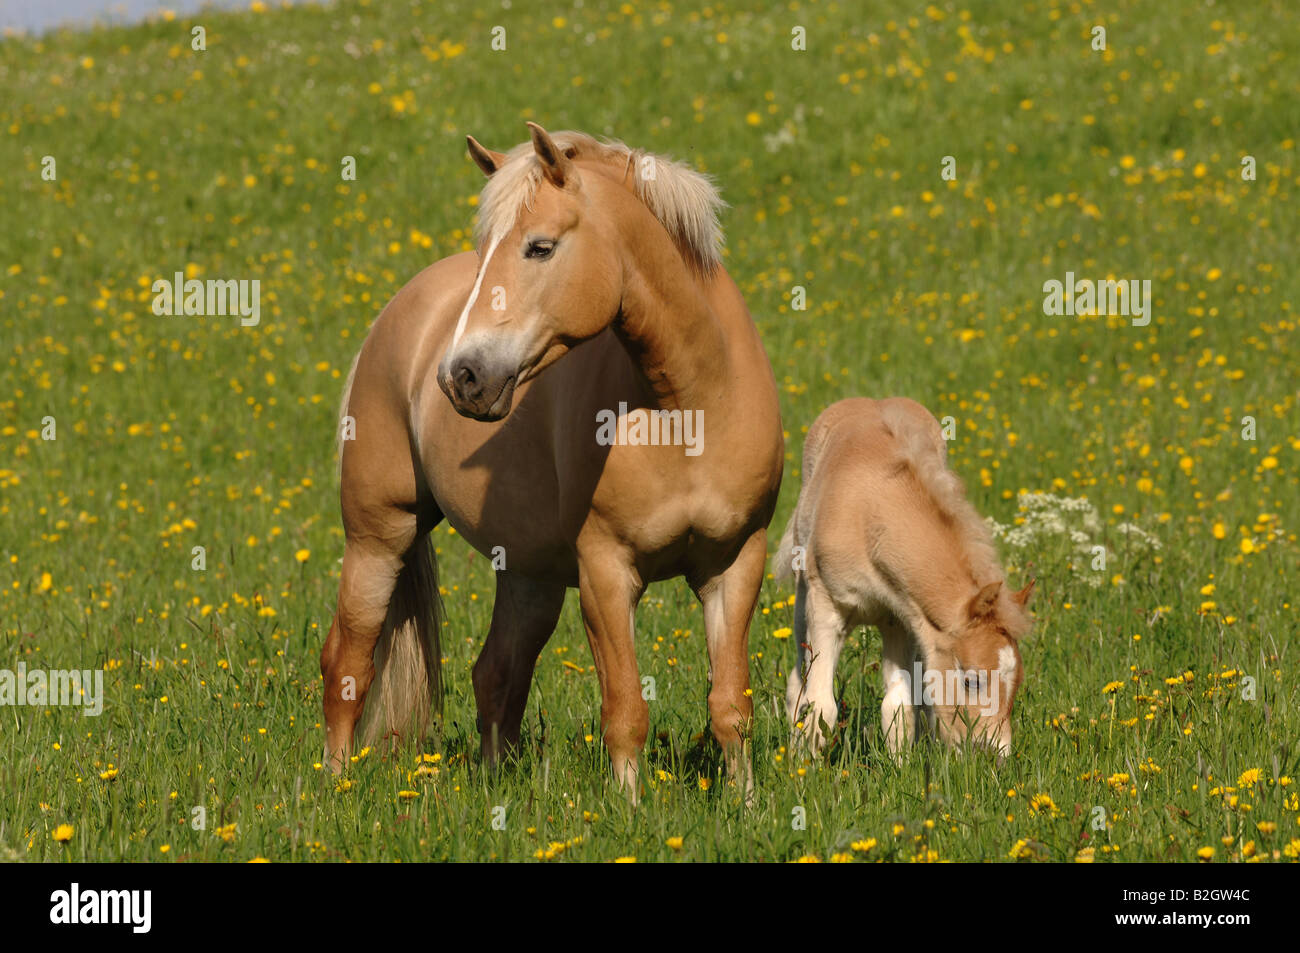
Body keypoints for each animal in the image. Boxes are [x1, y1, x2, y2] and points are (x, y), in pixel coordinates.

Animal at [320, 123, 784, 797]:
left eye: (539, 248)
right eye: (485, 248)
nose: (460, 377)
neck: (688, 410)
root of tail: (395, 317)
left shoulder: (735, 563)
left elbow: (730, 707)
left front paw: (744, 804)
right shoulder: (606, 572)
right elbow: (625, 710)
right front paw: (629, 807)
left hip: (528, 575)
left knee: (496, 674)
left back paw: (495, 781)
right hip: (379, 537)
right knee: (347, 665)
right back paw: (333, 785)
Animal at [772, 398, 1034, 758]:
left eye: (1018, 681)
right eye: (972, 680)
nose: (996, 756)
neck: (868, 521)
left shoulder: (902, 619)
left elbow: (899, 706)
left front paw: (901, 765)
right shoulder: (825, 607)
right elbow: (820, 705)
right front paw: (804, 766)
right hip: (803, 594)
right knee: (799, 679)